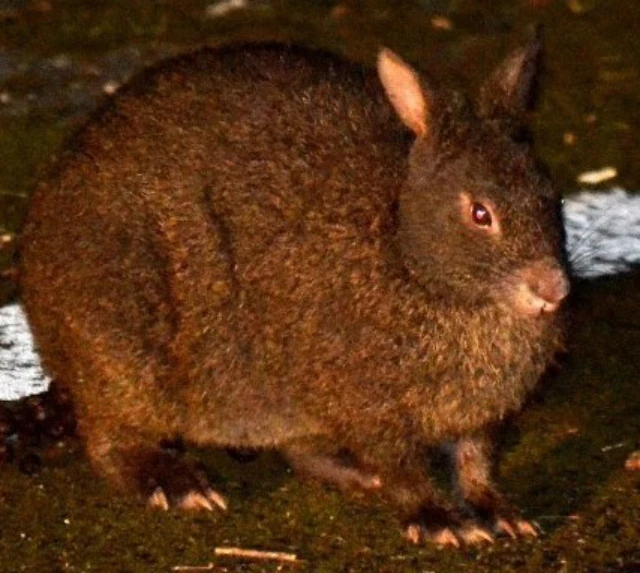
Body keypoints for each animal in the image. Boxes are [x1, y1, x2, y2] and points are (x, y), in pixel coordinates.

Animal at [19, 38, 570, 547]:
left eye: (551, 197)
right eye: (480, 213)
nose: (554, 287)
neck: (409, 258)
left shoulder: (479, 421)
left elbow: (475, 466)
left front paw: (501, 513)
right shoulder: (369, 410)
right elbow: (403, 469)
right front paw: (439, 521)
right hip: (122, 350)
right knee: (108, 441)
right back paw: (177, 483)